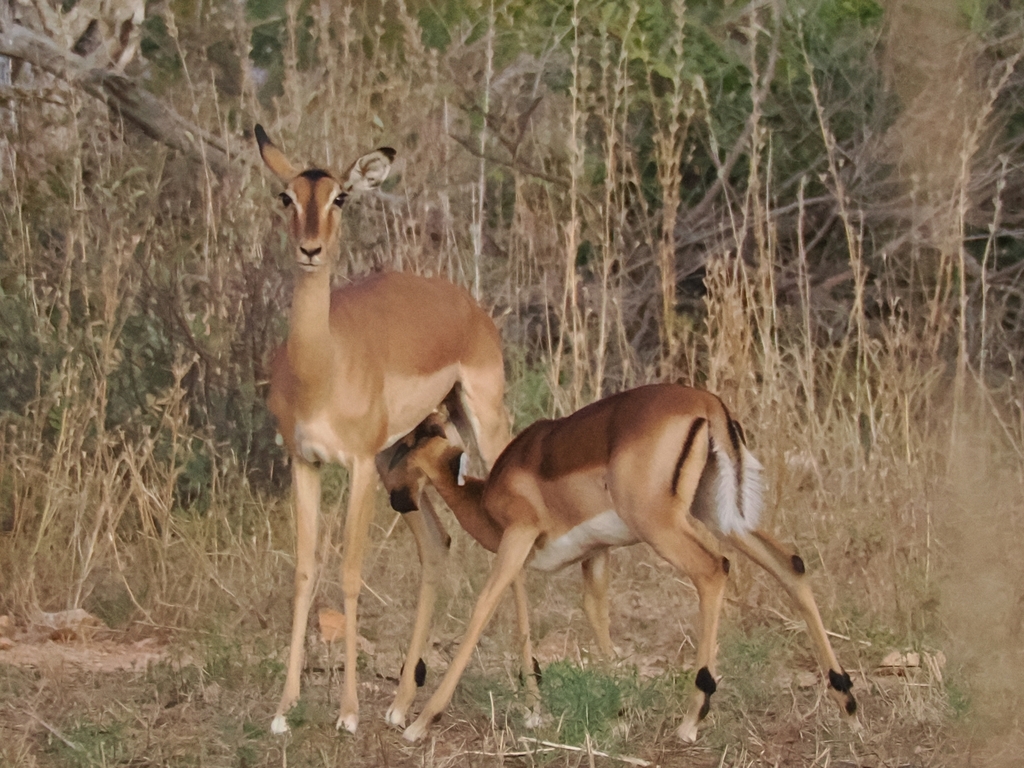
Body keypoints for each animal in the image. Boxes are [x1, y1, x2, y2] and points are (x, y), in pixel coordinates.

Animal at [255, 125, 511, 735]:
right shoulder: (305, 463)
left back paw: (530, 708)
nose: (310, 250)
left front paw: (347, 714)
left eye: (341, 198)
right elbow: (304, 570)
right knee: (439, 545)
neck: (321, 365)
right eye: (286, 196)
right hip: (403, 469)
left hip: (481, 429)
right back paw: (400, 705)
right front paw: (283, 709)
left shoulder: (358, 467)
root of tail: (466, 305)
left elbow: (349, 572)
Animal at [384, 383, 858, 744]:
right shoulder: (595, 556)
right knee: (791, 565)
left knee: (713, 569)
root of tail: (708, 404)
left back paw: (692, 719)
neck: (486, 496)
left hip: (664, 526)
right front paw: (617, 714)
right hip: (721, 515)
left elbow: (483, 608)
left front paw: (420, 722)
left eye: (406, 443)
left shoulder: (517, 538)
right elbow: (598, 620)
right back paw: (848, 704)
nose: (395, 498)